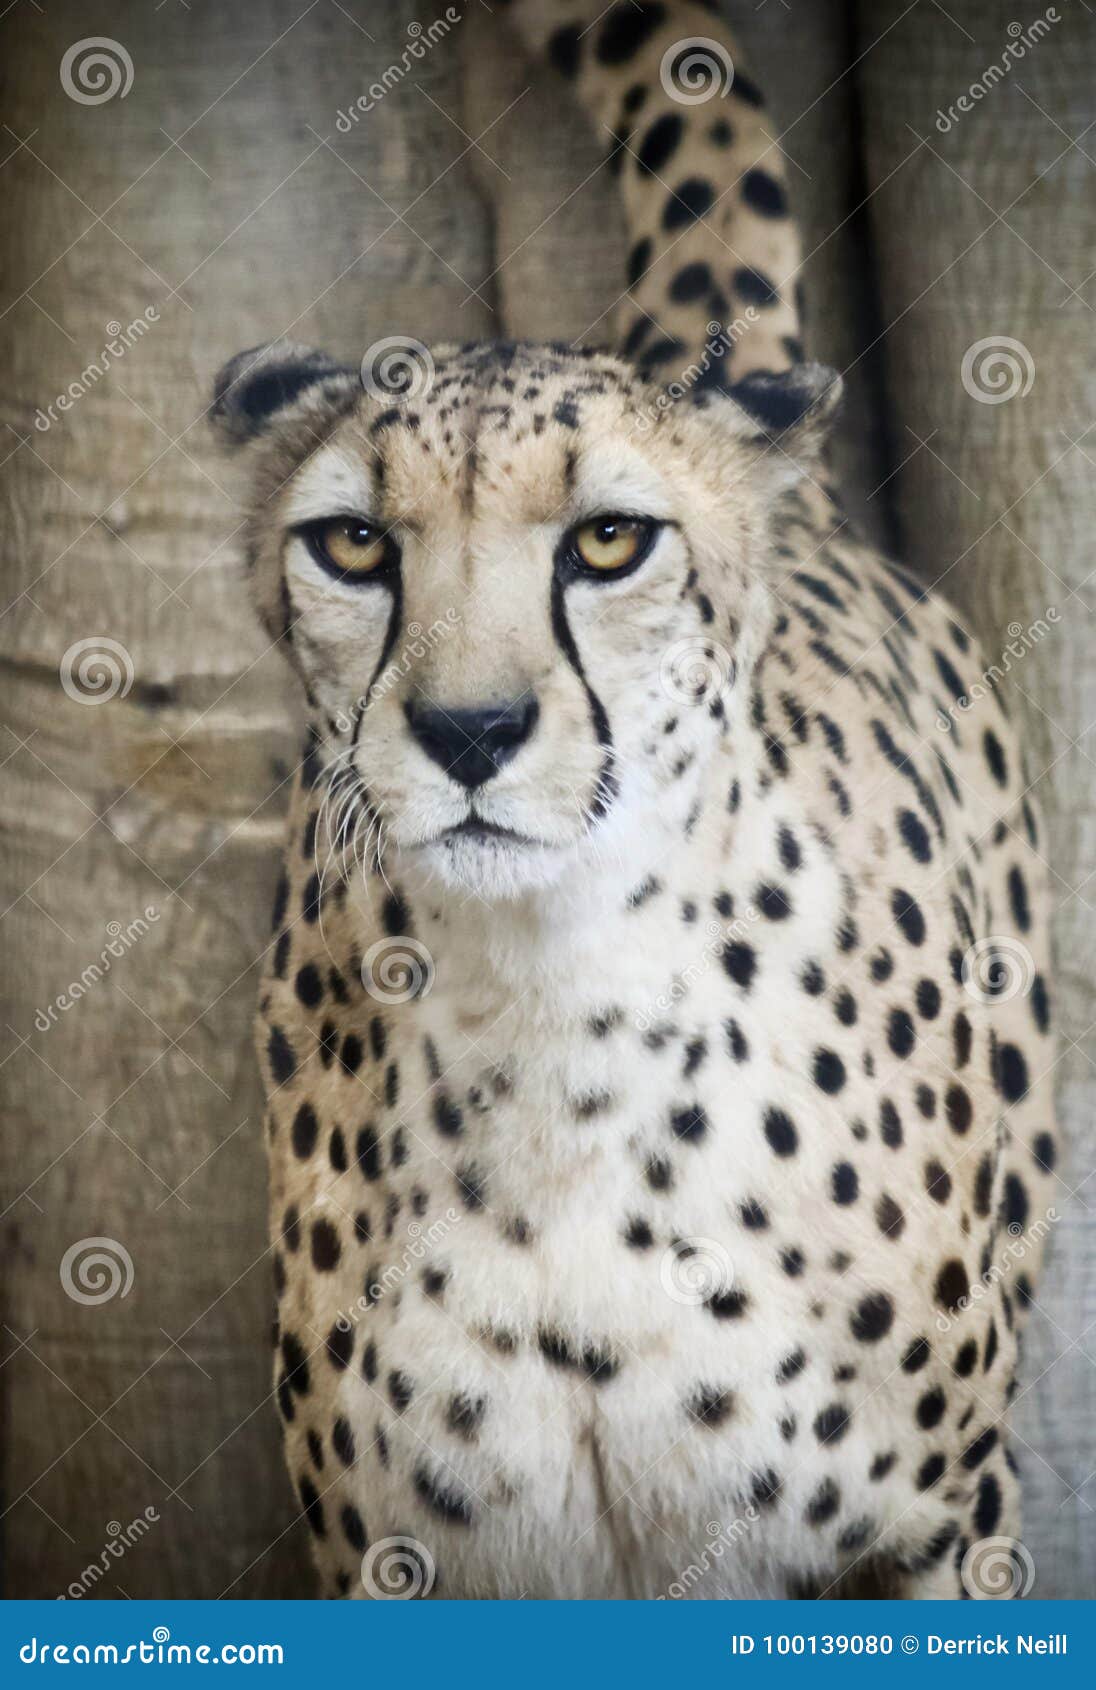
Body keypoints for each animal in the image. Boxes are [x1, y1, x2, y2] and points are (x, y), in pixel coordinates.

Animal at [210, 0, 1058, 1601]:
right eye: (354, 544)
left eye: (609, 541)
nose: (470, 730)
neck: (550, 1016)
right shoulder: (403, 1563)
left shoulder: (928, 1529)